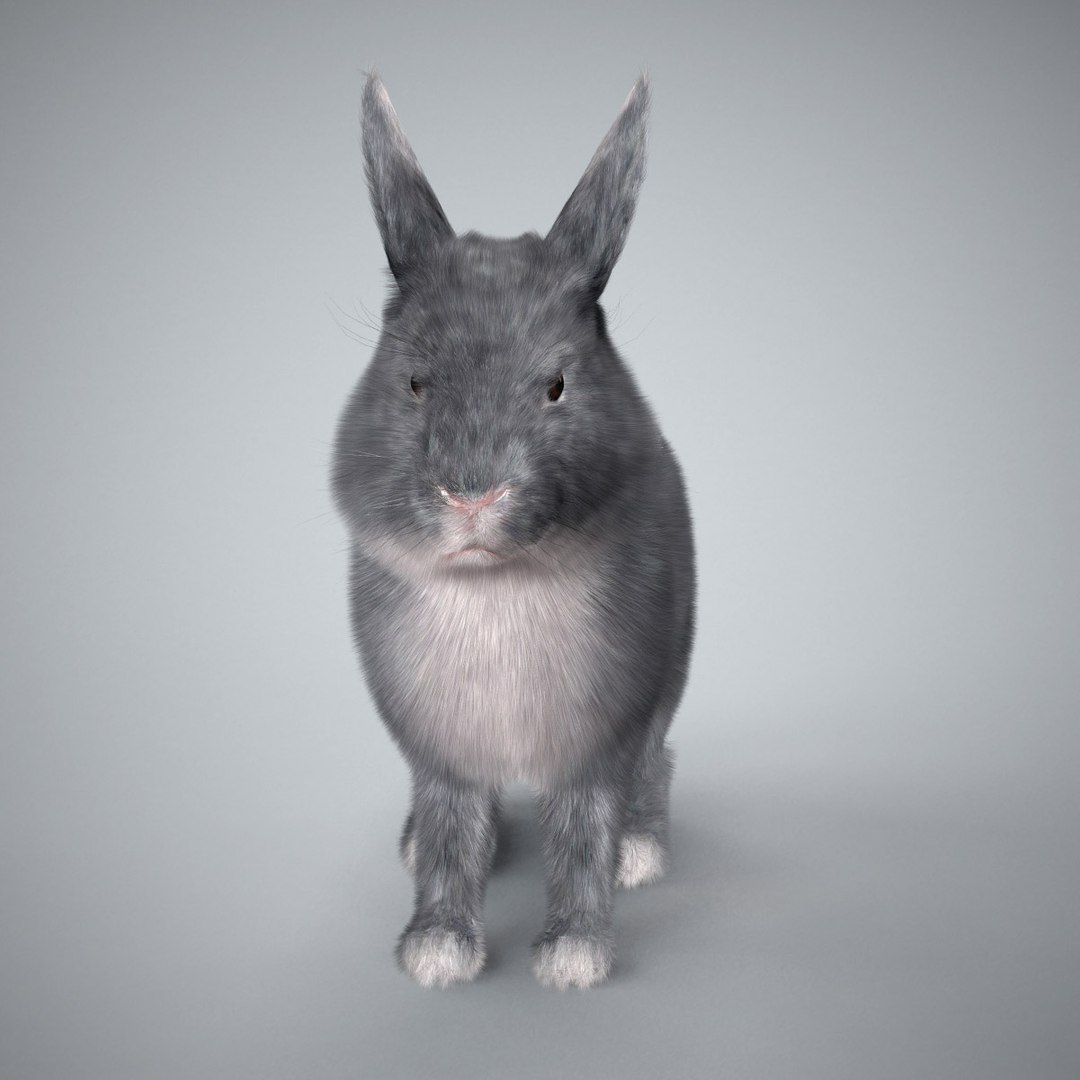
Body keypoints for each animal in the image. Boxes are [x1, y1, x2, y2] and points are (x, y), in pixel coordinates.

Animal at [331, 71, 695, 990]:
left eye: (558, 384)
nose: (470, 494)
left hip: (666, 685)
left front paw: (573, 955)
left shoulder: (597, 742)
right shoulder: (443, 754)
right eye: (414, 381)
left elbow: (582, 837)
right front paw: (436, 948)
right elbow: (452, 834)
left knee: (657, 762)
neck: (493, 585)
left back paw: (642, 851)